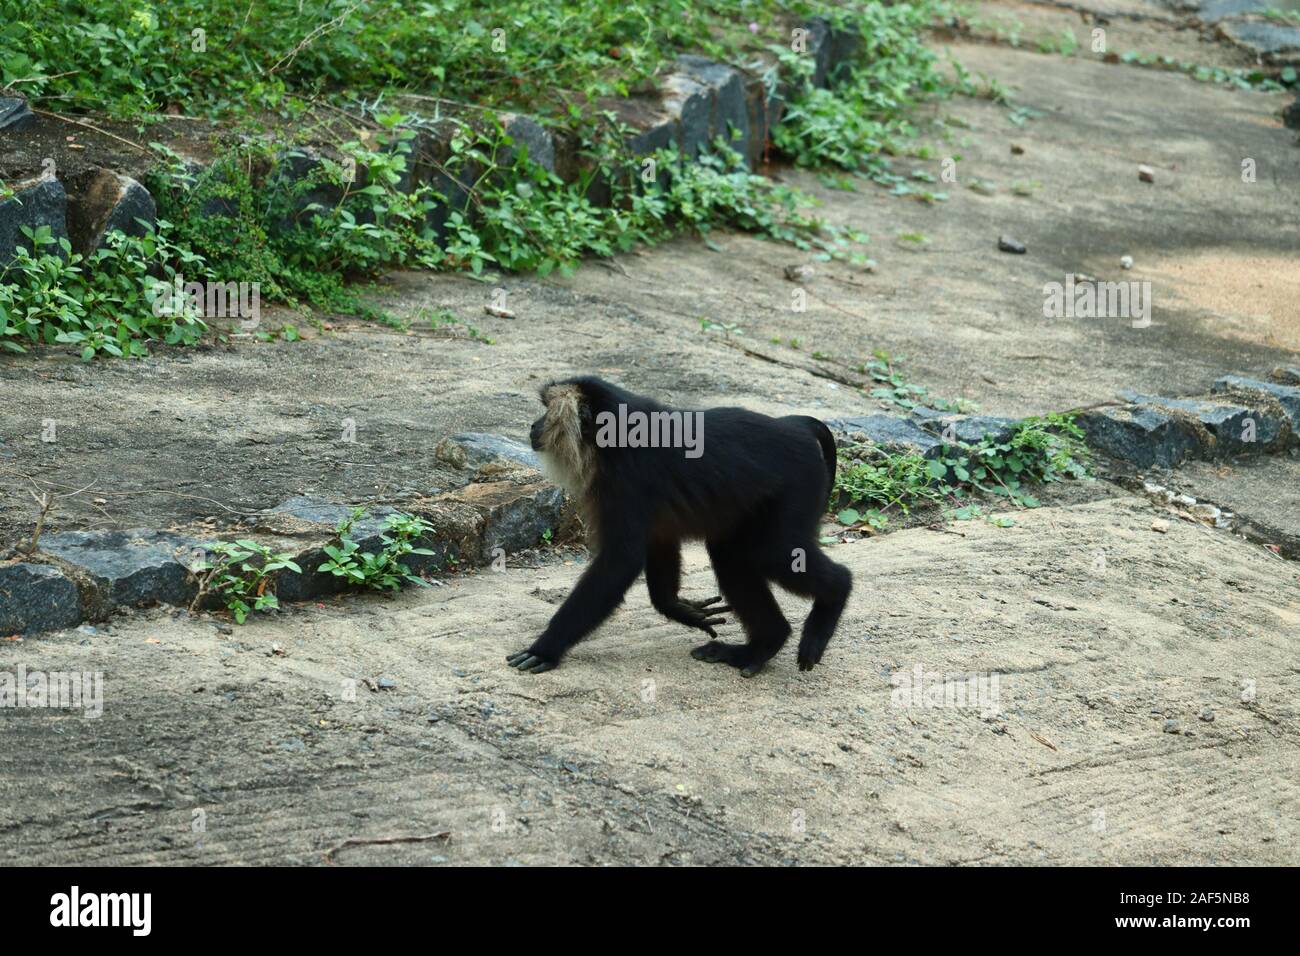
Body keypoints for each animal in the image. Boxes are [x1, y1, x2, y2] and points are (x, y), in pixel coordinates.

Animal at [505, 376, 852, 678]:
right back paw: (763, 645)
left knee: (774, 552)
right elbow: (658, 539)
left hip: (799, 485)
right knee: (731, 556)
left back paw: (835, 593)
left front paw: (545, 649)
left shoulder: (627, 478)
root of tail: (793, 425)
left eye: (547, 413)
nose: (534, 426)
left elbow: (621, 561)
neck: (613, 436)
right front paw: (679, 608)